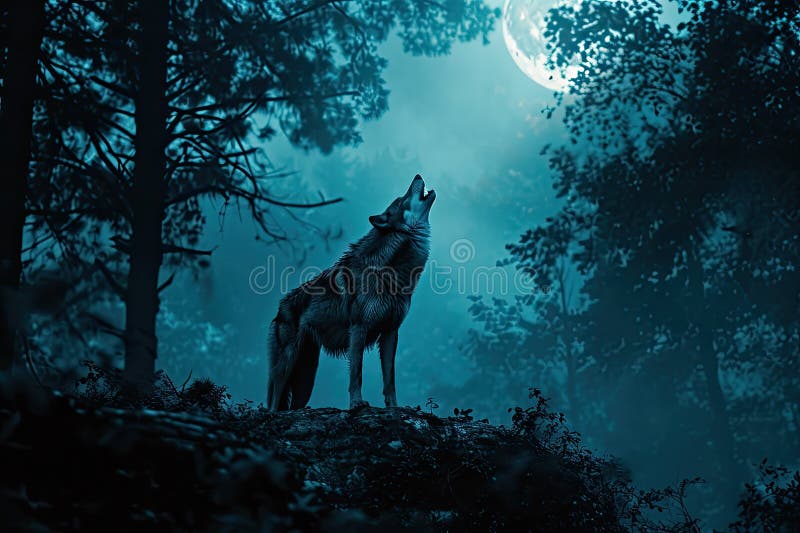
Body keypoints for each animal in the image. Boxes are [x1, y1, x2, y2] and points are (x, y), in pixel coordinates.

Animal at [266, 174, 435, 411]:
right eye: (402, 199)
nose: (418, 175)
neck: (390, 273)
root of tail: (279, 308)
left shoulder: (391, 332)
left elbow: (389, 379)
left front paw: (394, 407)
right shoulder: (358, 329)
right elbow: (357, 373)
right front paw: (356, 403)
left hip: (306, 379)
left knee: (293, 406)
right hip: (287, 364)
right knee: (274, 401)